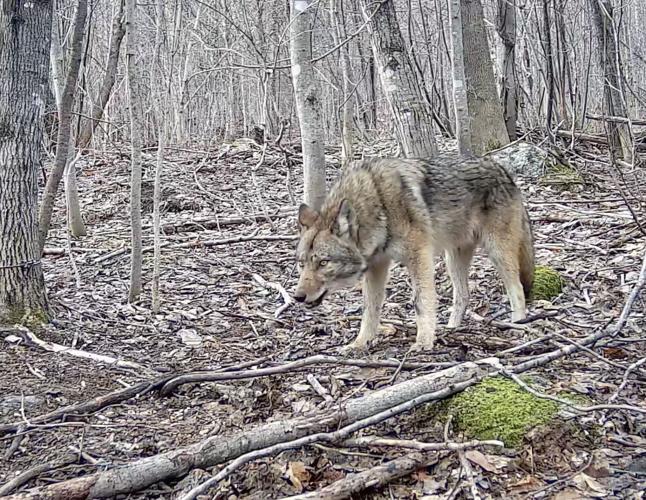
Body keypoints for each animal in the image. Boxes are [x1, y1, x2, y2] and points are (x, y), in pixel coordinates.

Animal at [293, 154, 535, 351]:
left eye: (323, 262)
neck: (377, 204)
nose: (298, 297)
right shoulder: (377, 266)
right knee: (463, 295)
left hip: (497, 252)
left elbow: (422, 300)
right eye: (301, 263)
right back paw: (451, 329)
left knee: (517, 289)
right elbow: (369, 309)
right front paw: (360, 343)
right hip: (453, 259)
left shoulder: (419, 256)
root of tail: (503, 170)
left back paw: (518, 326)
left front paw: (424, 341)